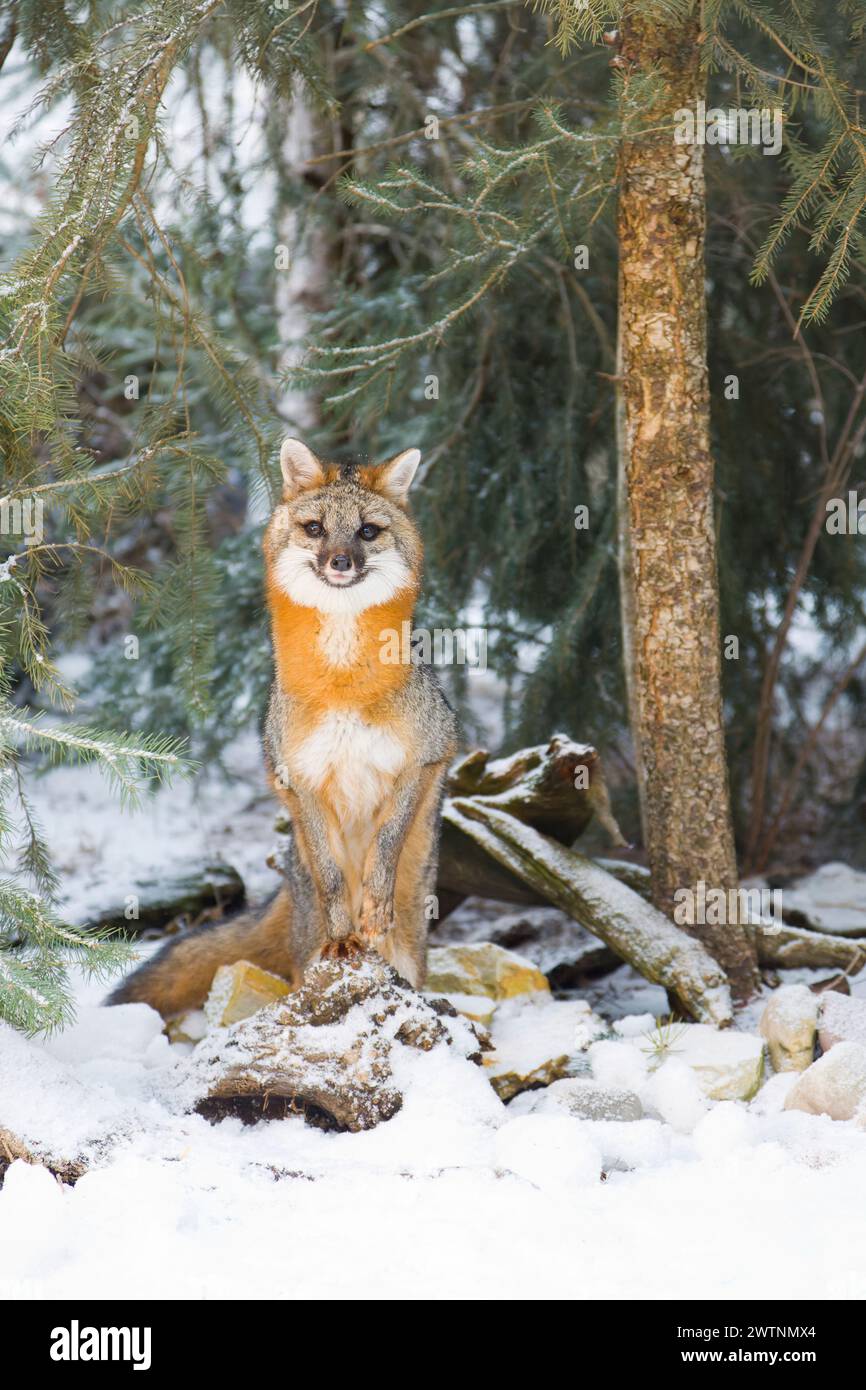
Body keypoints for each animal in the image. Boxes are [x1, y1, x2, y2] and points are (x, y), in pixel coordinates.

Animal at [109, 438, 458, 1017]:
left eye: (367, 531)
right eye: (315, 528)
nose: (340, 561)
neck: (342, 683)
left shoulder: (430, 754)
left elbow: (385, 844)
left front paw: (374, 902)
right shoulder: (299, 781)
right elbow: (335, 878)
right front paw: (343, 936)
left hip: (409, 950)